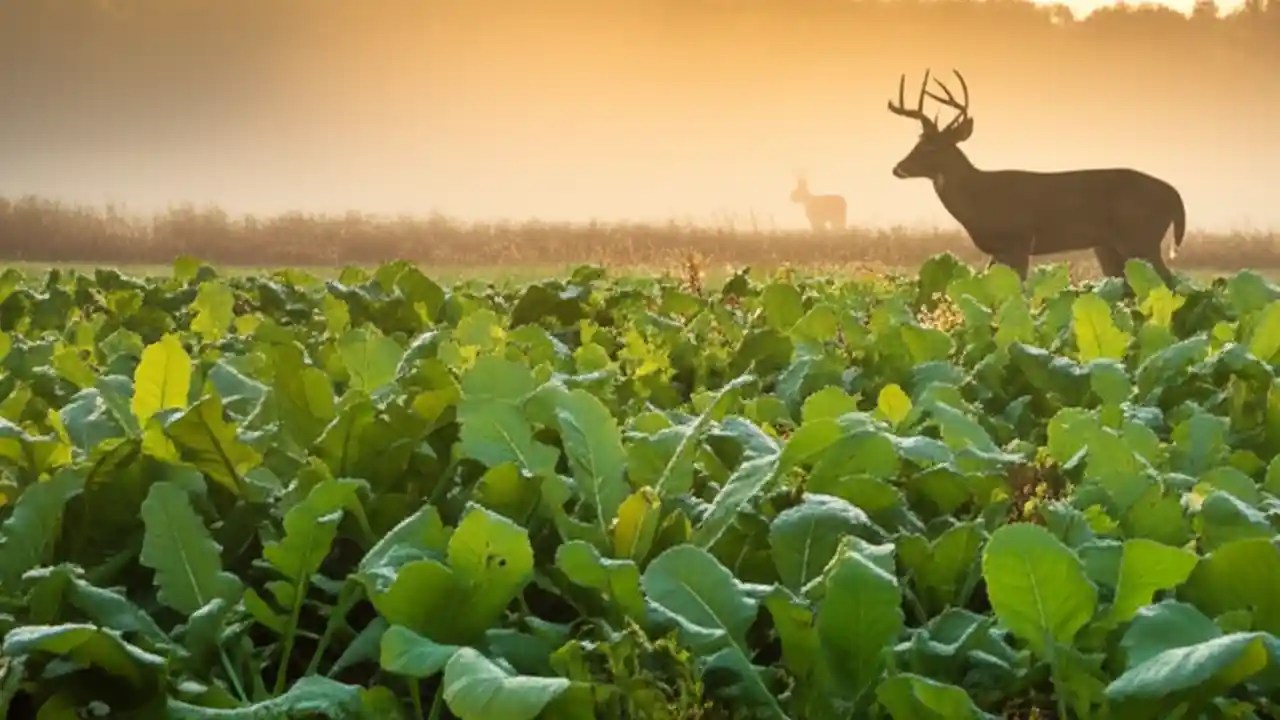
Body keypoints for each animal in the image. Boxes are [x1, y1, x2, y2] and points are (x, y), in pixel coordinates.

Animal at [887, 69, 1186, 286]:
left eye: (930, 147)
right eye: (918, 141)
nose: (898, 168)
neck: (979, 197)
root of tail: (1174, 194)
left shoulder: (1020, 240)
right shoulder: (998, 251)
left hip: (1141, 238)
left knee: (1168, 282)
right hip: (1110, 247)